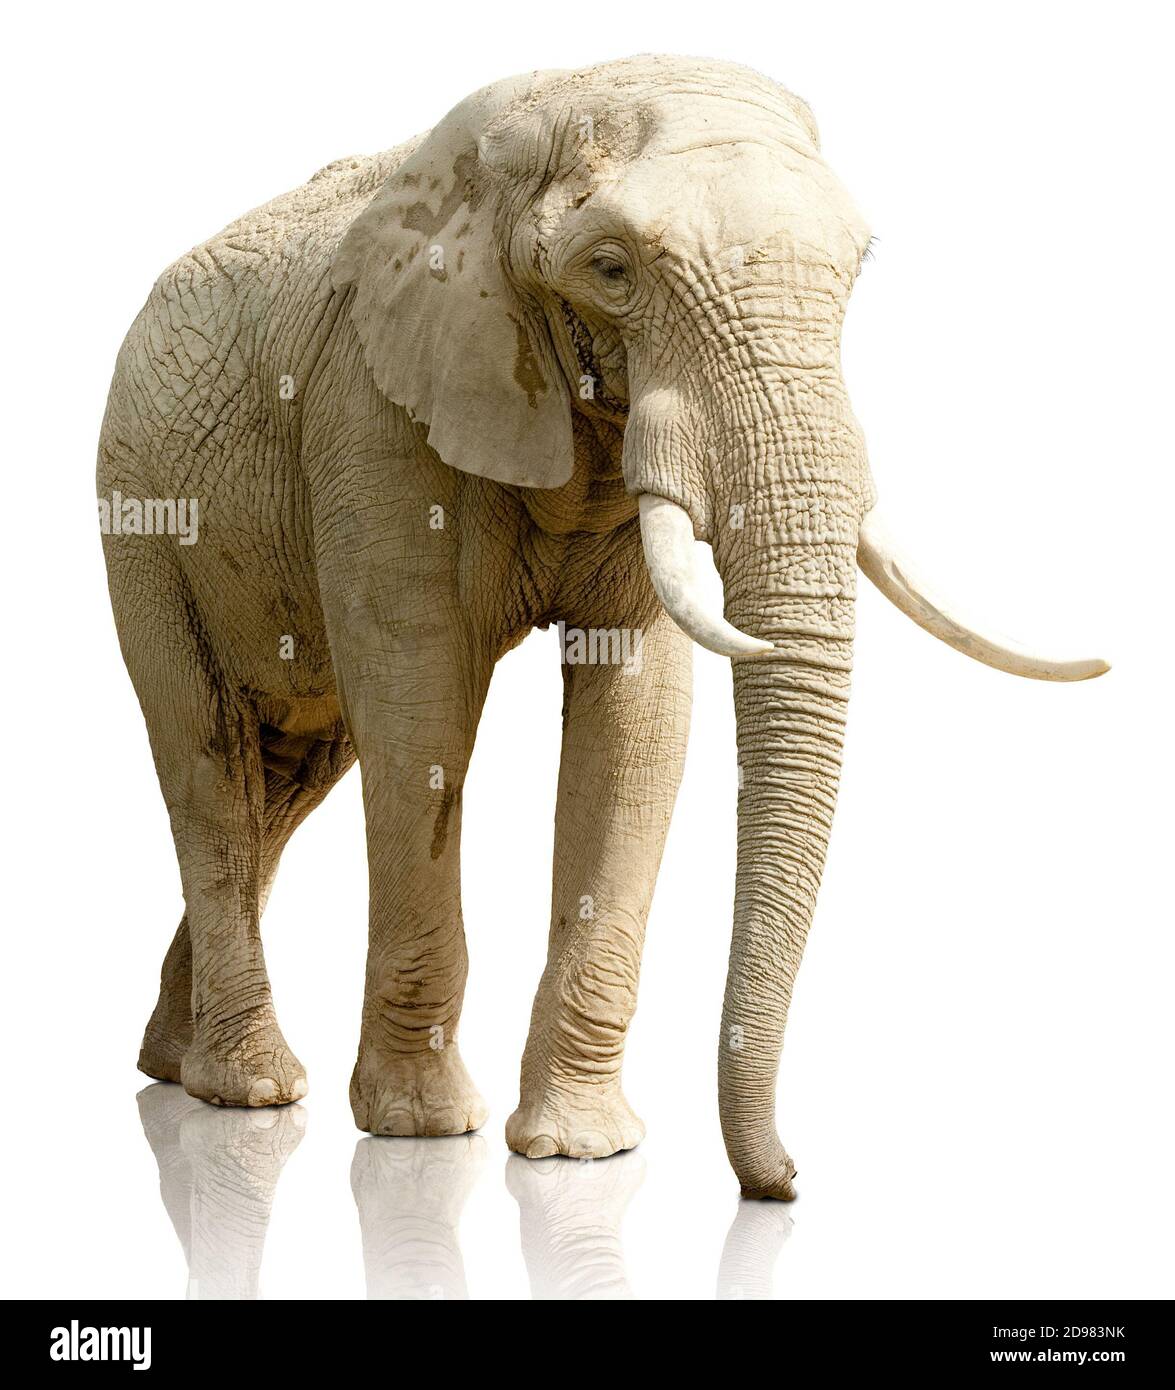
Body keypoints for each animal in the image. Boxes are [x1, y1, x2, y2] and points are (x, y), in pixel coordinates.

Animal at [98, 54, 1107, 1201]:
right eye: (612, 268)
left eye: (856, 269)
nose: (782, 1181)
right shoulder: (371, 411)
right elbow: (419, 709)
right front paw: (420, 1130)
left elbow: (635, 728)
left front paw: (579, 1150)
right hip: (141, 513)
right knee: (211, 762)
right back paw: (250, 1090)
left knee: (290, 775)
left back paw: (172, 1064)